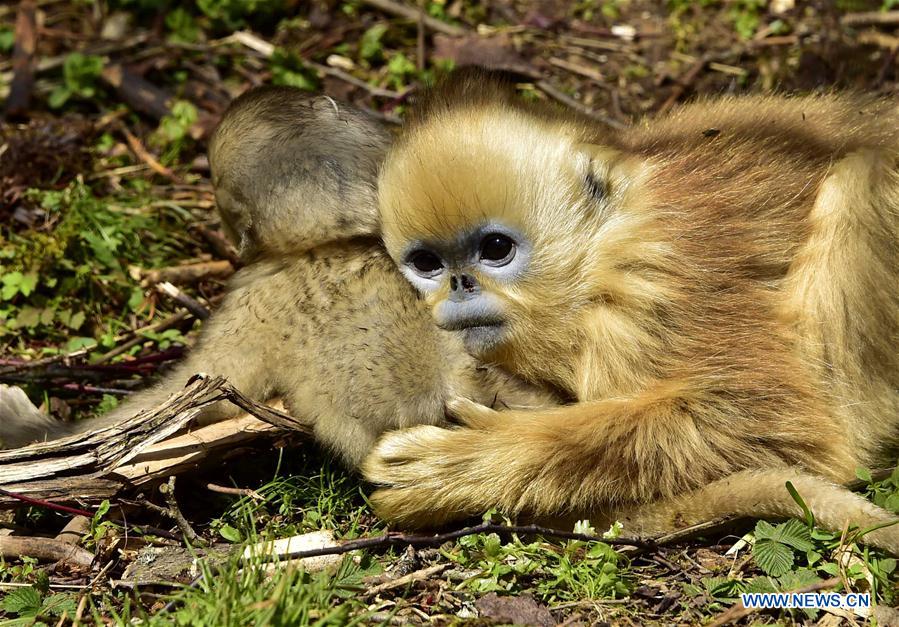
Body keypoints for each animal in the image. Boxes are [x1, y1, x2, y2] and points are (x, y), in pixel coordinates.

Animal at [364, 69, 899, 552]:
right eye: (428, 264)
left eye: (495, 249)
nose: (459, 285)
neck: (600, 249)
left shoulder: (656, 282)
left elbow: (777, 417)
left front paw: (463, 463)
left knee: (863, 175)